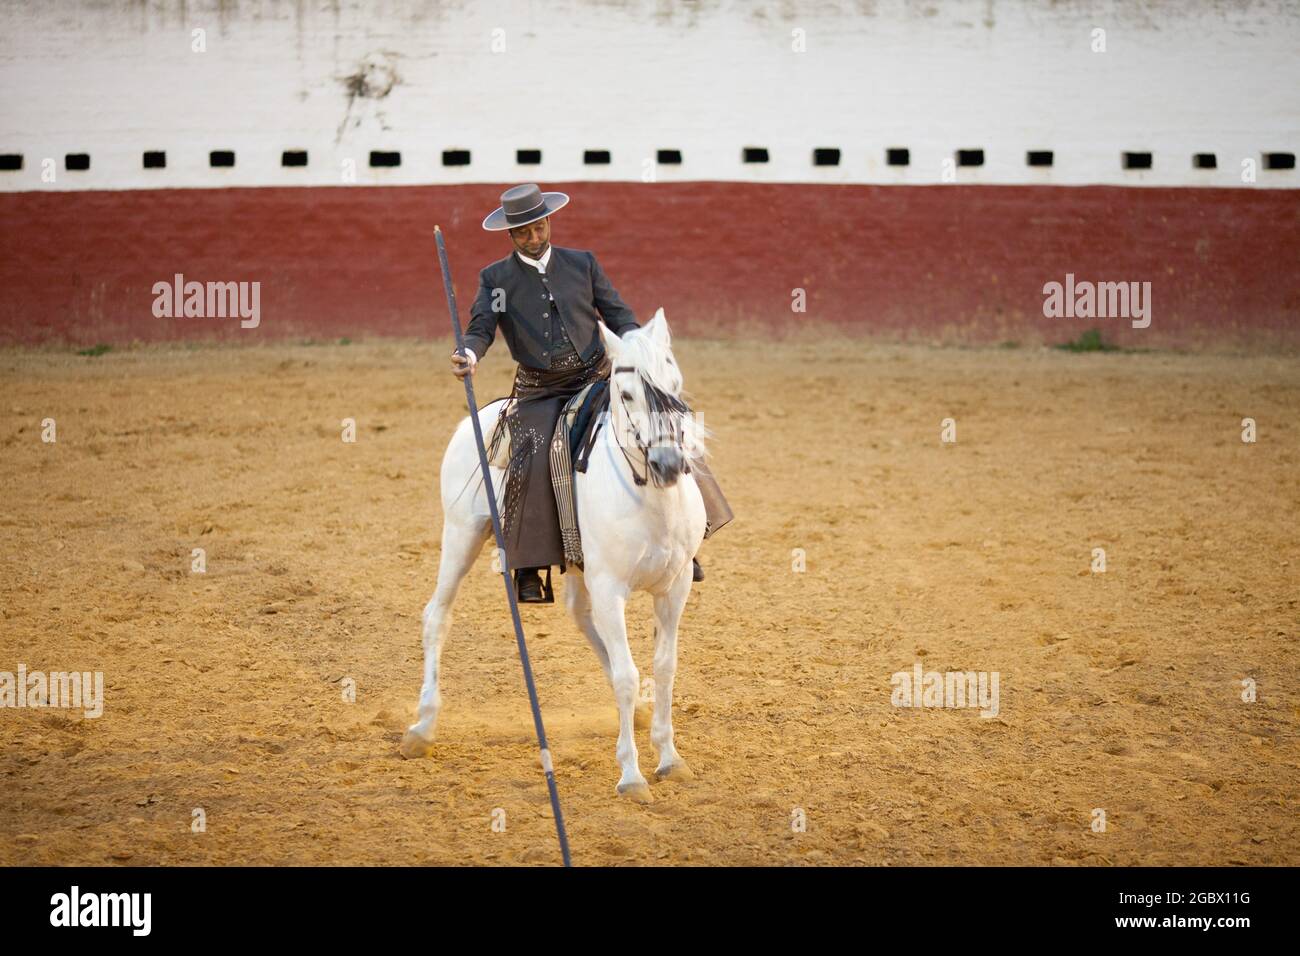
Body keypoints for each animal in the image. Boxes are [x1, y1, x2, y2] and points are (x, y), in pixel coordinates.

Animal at [400, 309, 709, 803]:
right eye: (626, 393)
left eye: (674, 385)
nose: (668, 465)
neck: (650, 498)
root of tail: (480, 415)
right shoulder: (610, 588)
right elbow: (627, 675)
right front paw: (631, 775)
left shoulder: (674, 587)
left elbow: (664, 667)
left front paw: (669, 757)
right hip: (462, 534)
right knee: (437, 615)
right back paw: (422, 728)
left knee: (579, 614)